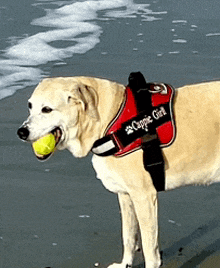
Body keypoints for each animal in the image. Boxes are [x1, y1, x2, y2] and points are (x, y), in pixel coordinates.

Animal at [17, 76, 220, 266]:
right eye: (30, 106)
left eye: (47, 109)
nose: (21, 132)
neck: (109, 120)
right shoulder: (125, 195)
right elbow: (128, 236)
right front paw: (125, 264)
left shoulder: (144, 196)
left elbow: (149, 249)